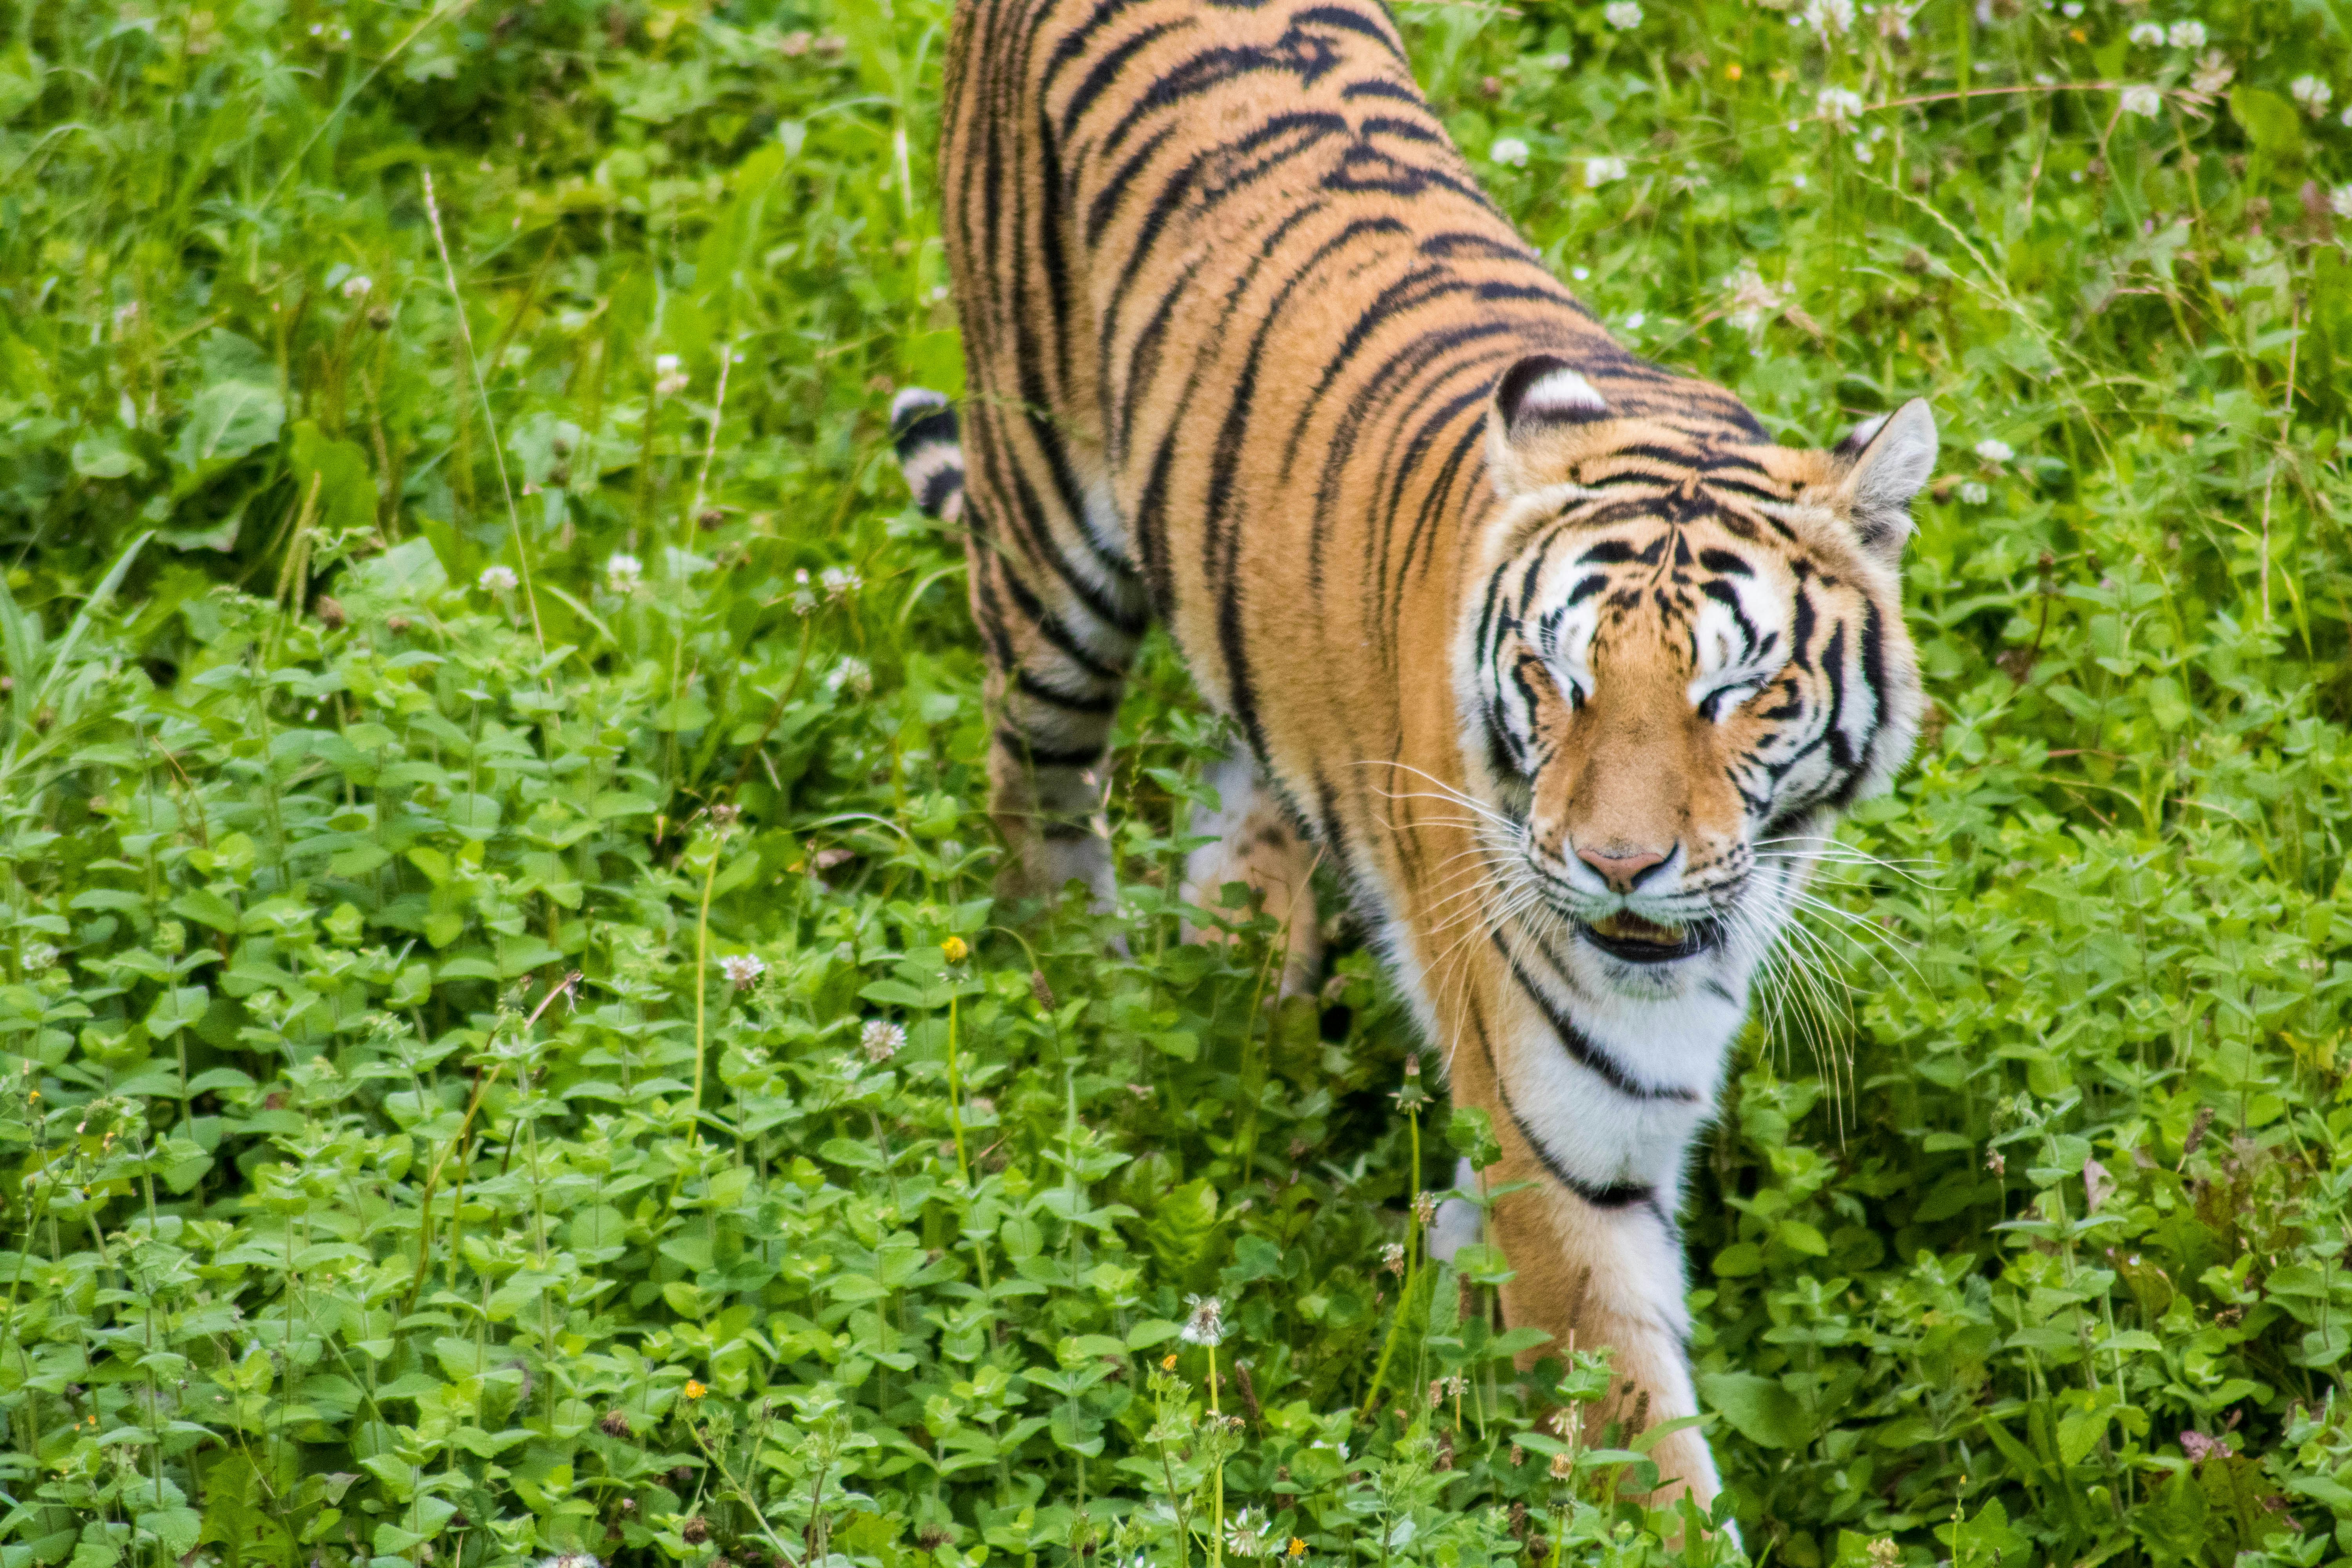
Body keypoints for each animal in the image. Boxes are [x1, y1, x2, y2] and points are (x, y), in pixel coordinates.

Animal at [888, 0, 1936, 1519]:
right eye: (1556, 682)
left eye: (1737, 694)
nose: (1619, 866)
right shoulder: (1562, 1161)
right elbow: (1643, 1469)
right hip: (1044, 535)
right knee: (1033, 782)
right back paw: (1088, 987)